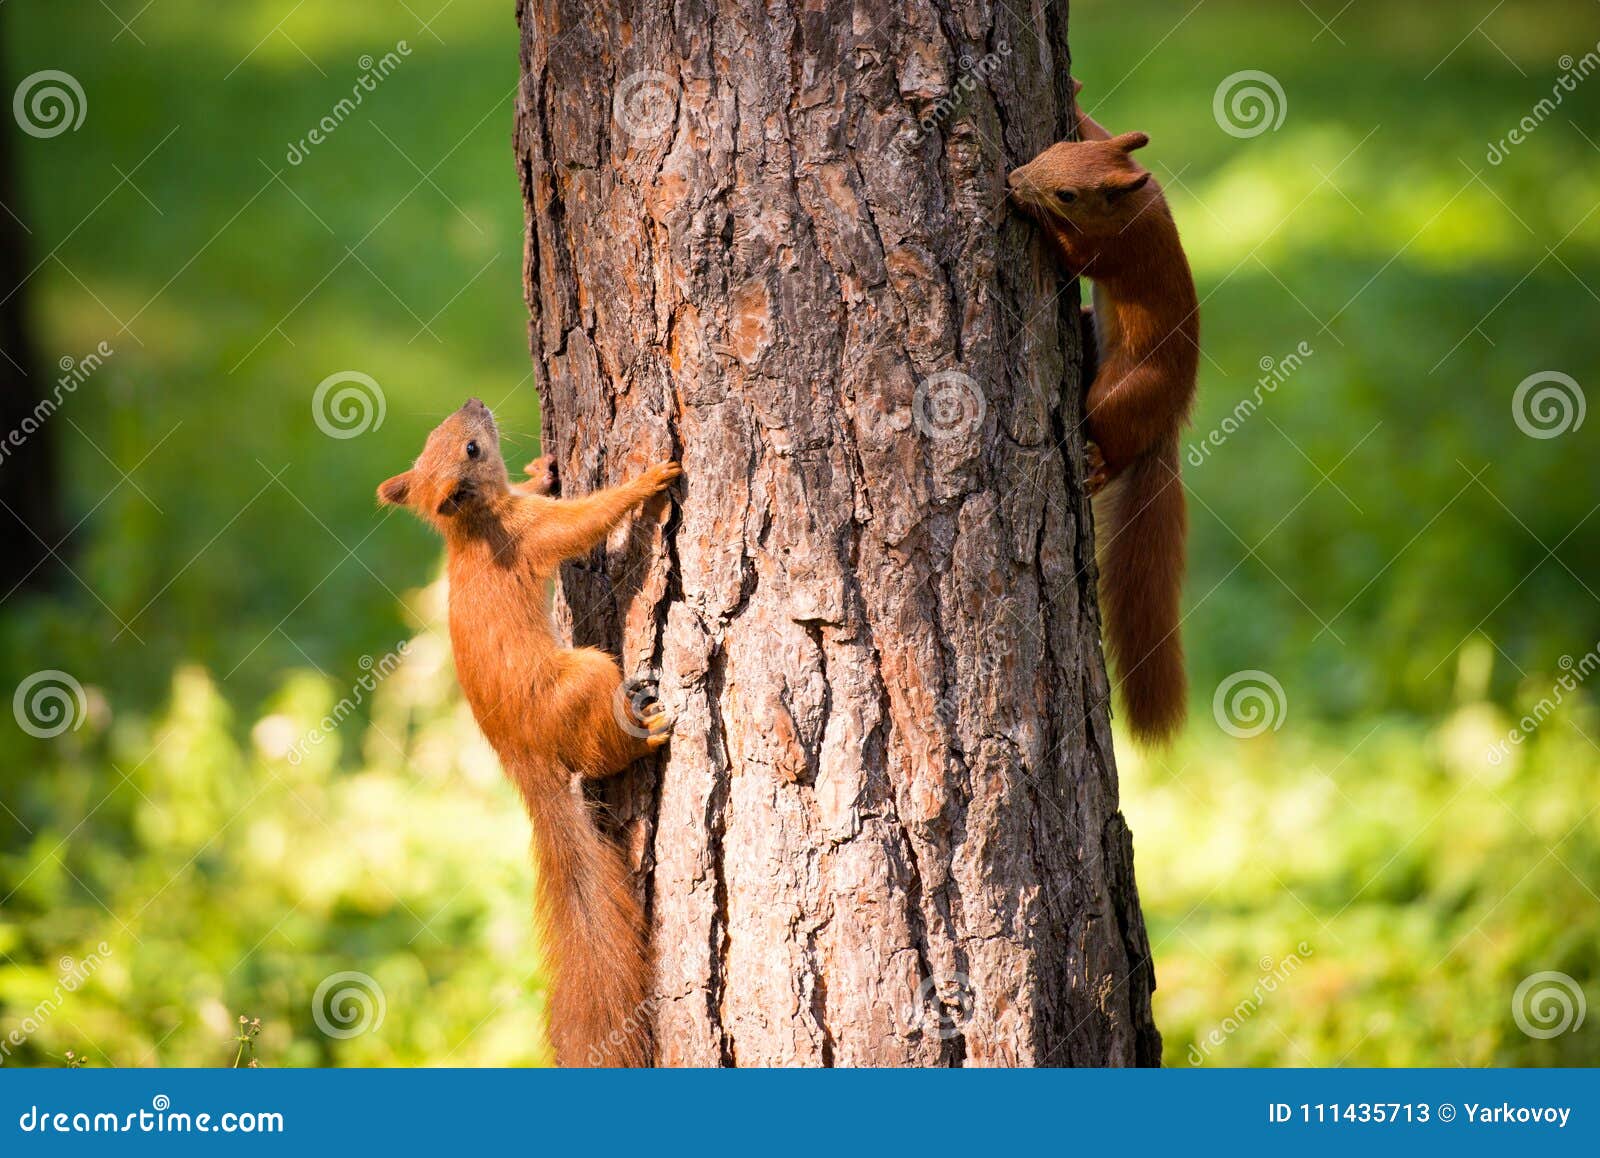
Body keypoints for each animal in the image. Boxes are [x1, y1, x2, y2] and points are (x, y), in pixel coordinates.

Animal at [378, 397, 679, 1066]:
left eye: (439, 436)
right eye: (470, 448)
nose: (475, 403)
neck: (475, 525)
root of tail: (521, 756)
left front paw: (544, 469)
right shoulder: (532, 535)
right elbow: (584, 523)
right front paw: (647, 482)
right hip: (585, 677)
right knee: (601, 755)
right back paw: (647, 734)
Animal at [1006, 81, 1198, 745]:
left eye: (1068, 193)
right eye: (1054, 147)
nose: (1014, 178)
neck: (1138, 205)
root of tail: (1168, 421)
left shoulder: (1118, 252)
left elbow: (1077, 259)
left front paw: (1034, 217)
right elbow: (1106, 131)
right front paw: (1079, 94)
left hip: (1118, 395)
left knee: (1113, 445)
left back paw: (1094, 465)